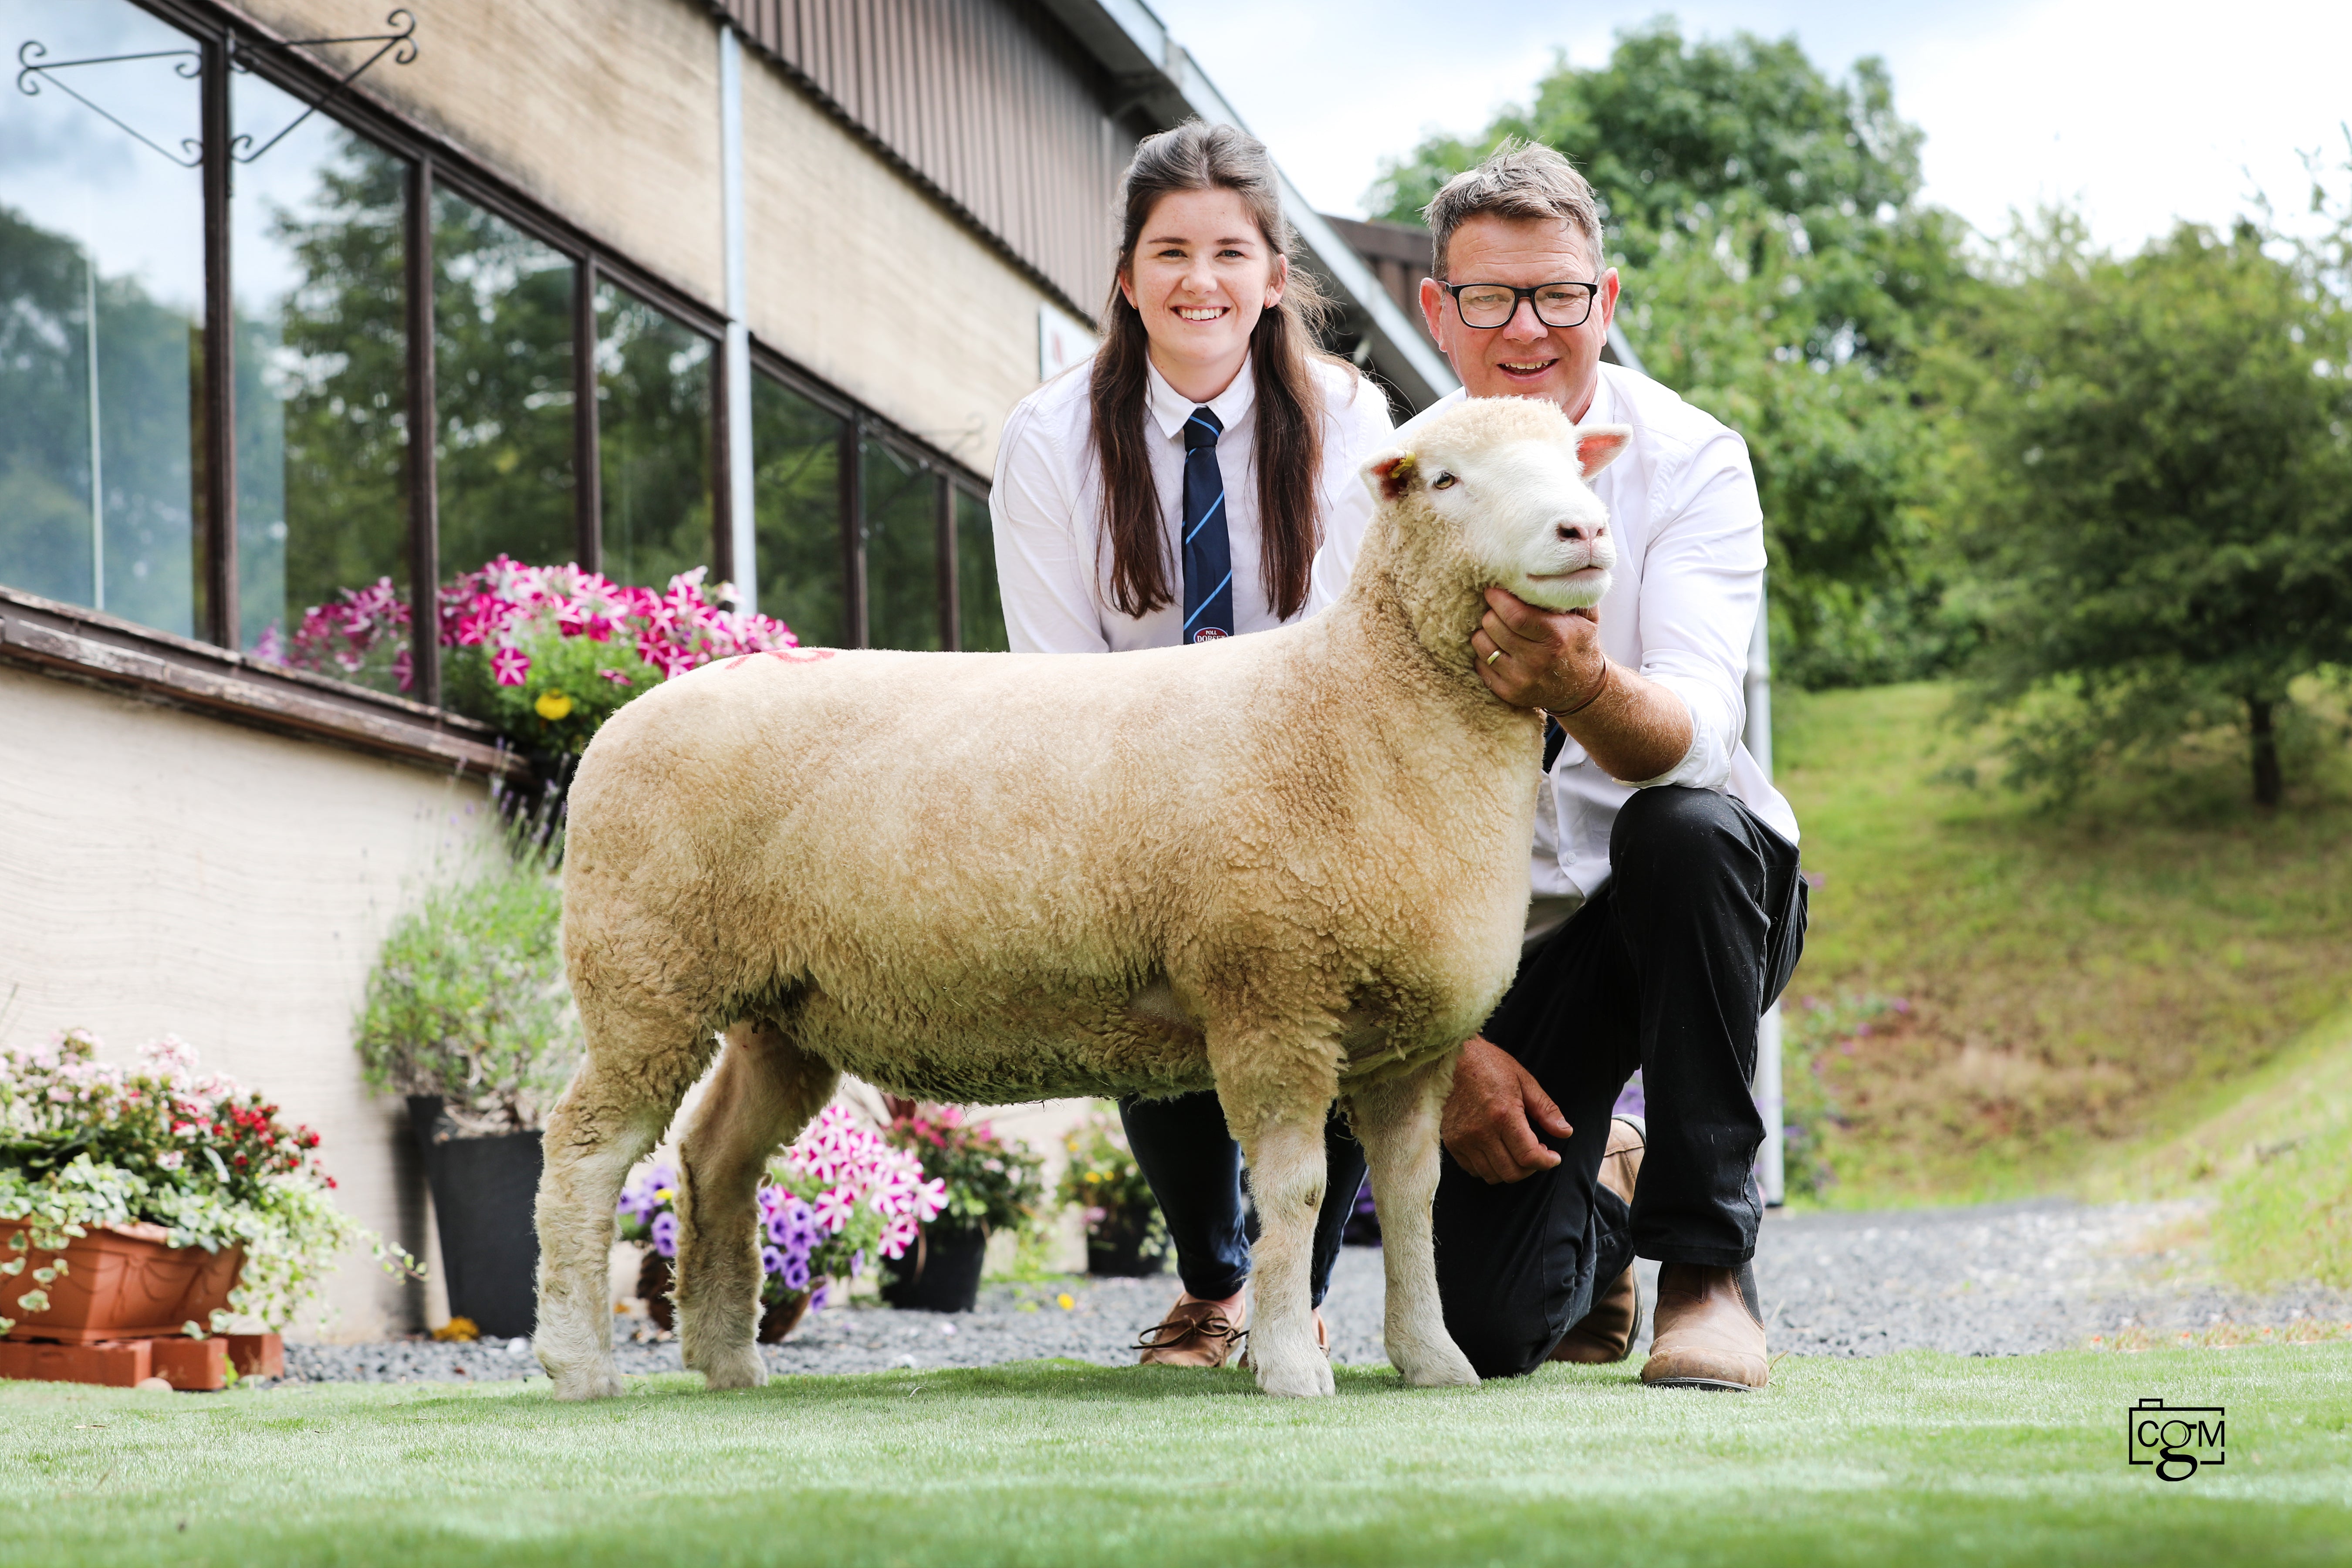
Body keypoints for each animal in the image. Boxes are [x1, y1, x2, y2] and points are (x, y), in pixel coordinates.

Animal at [532, 395, 1632, 1400]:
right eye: (1444, 479)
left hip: (779, 1008)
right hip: (645, 973)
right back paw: (579, 1362)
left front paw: (1432, 1360)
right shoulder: (1272, 997)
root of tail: (630, 712)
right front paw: (1289, 1364)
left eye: (1575, 461)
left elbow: (1411, 1200)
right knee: (586, 1149)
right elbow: (1295, 1191)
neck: (1363, 704)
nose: (1583, 529)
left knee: (716, 1156)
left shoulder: (1411, 1039)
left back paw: (727, 1358)